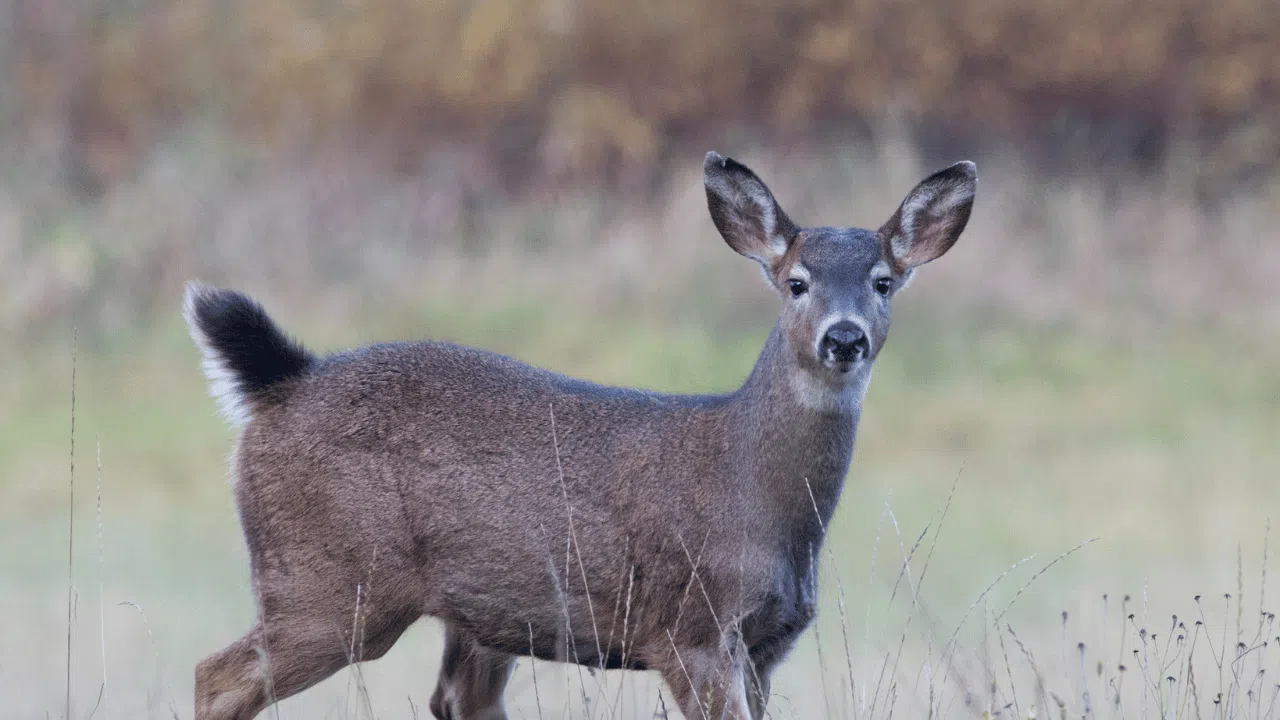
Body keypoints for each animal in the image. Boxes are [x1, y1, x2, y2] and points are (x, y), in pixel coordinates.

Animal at [185, 151, 977, 720]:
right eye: (796, 281)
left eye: (883, 282)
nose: (843, 339)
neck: (753, 495)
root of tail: (278, 385)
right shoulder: (689, 630)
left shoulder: (766, 648)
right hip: (332, 582)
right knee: (214, 676)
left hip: (468, 613)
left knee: (454, 700)